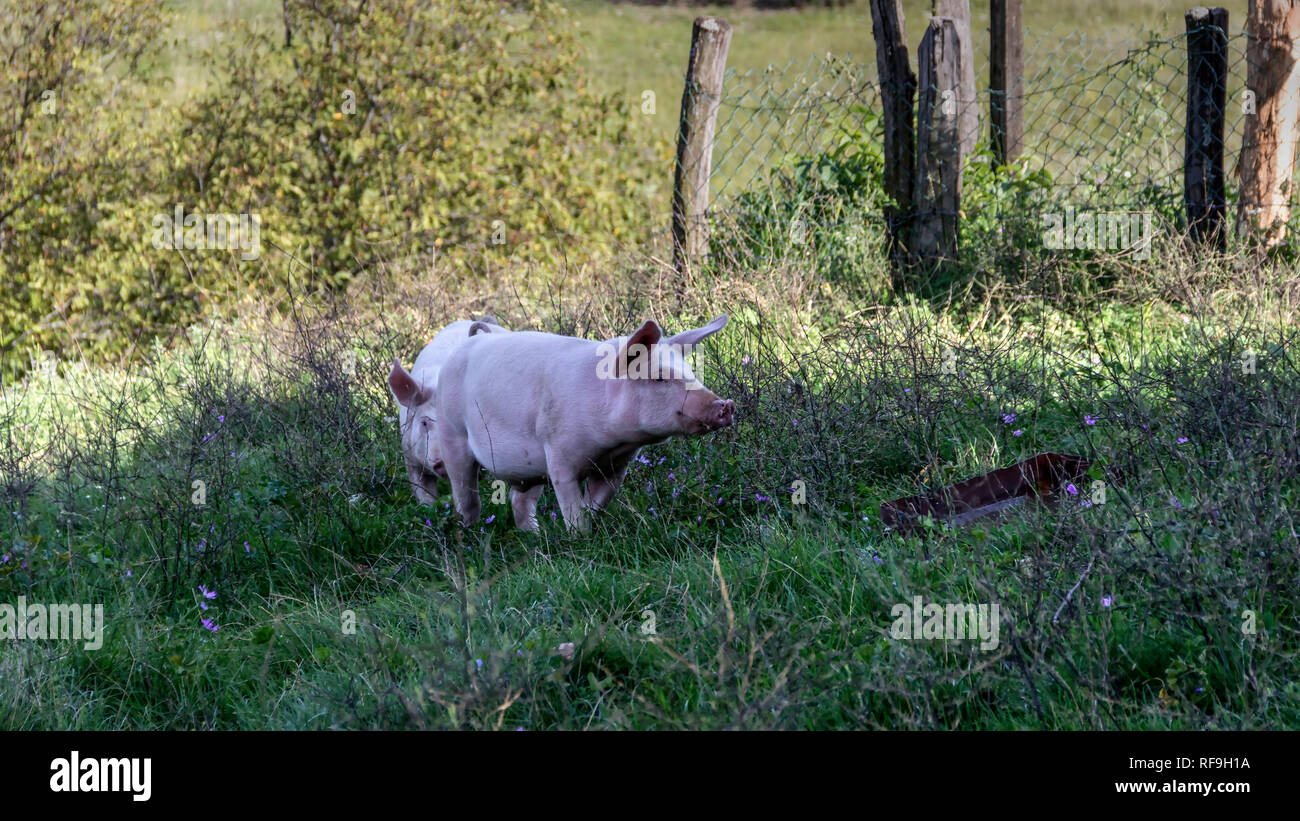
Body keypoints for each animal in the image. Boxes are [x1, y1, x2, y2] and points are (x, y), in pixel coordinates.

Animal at [435, 315, 735, 532]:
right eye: (659, 378)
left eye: (692, 373)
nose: (726, 405)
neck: (613, 442)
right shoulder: (558, 452)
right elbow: (573, 507)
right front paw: (579, 536)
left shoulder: (616, 465)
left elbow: (597, 502)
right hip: (451, 433)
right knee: (466, 496)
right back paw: (468, 534)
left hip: (529, 465)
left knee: (519, 501)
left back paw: (534, 536)